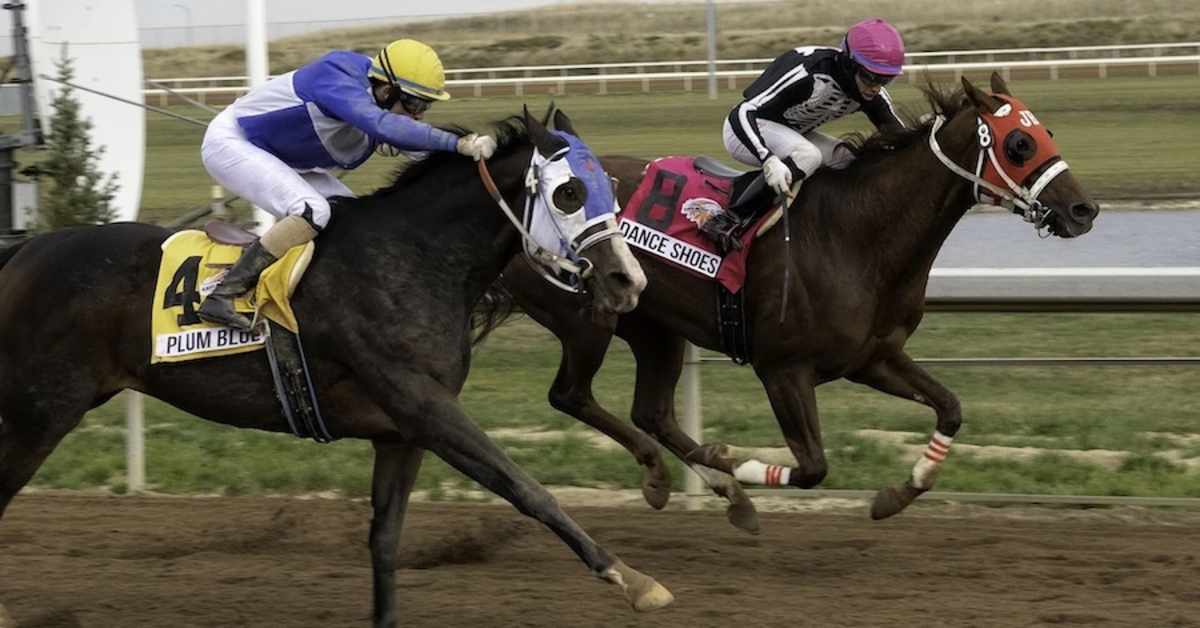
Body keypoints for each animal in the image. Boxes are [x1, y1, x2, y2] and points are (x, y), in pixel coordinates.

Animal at [0, 107, 677, 627]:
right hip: (38, 410)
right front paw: (634, 579)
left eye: (612, 189)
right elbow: (525, 487)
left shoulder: (403, 432)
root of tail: (24, 251)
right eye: (568, 193)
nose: (629, 281)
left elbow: (385, 539)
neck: (414, 258)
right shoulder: (424, 404)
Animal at [501, 75, 1100, 533]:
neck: (858, 236)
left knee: (650, 411)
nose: (1083, 211)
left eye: (1046, 132)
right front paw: (737, 462)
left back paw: (717, 489)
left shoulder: (872, 358)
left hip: (656, 328)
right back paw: (682, 475)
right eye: (1017, 145)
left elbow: (950, 407)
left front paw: (897, 494)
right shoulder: (783, 368)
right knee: (571, 395)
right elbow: (813, 467)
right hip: (590, 317)